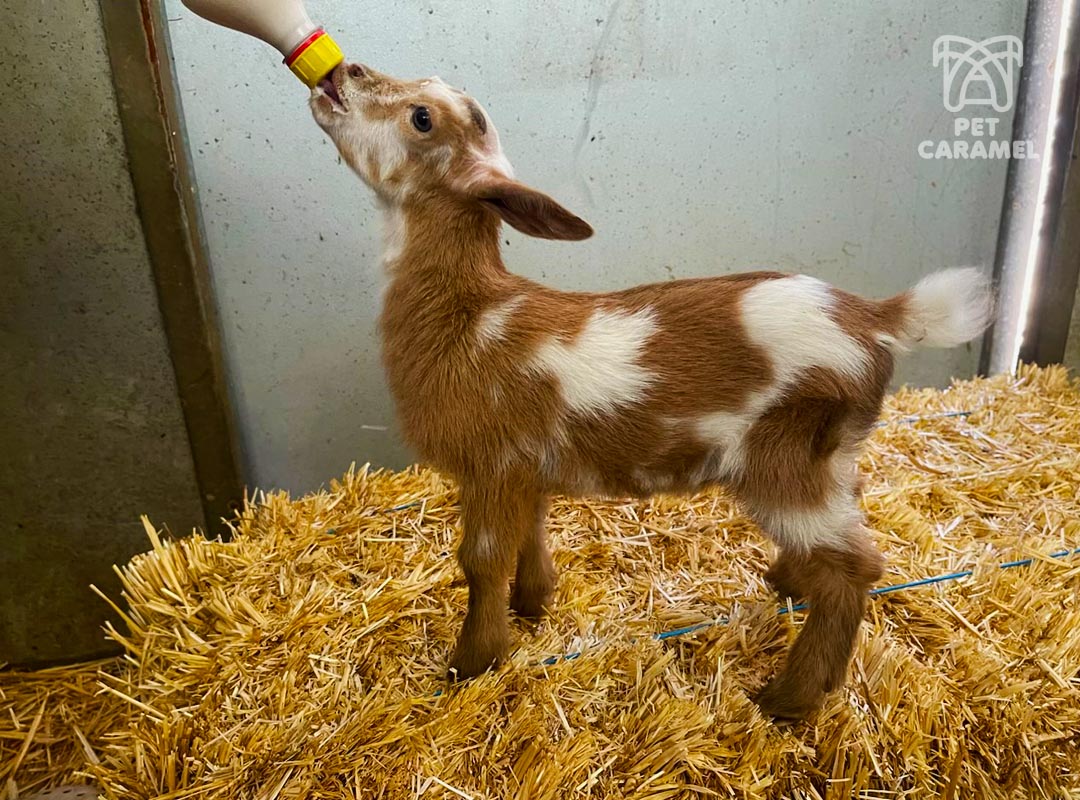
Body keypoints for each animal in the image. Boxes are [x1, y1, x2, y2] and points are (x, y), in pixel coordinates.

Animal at [310, 62, 993, 719]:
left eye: (422, 117)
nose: (341, 73)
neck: (470, 314)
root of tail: (876, 319)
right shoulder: (524, 468)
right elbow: (530, 533)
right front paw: (533, 605)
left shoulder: (490, 463)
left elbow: (480, 564)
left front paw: (470, 664)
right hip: (833, 456)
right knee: (849, 532)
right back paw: (787, 589)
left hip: (786, 461)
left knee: (855, 569)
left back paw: (787, 700)